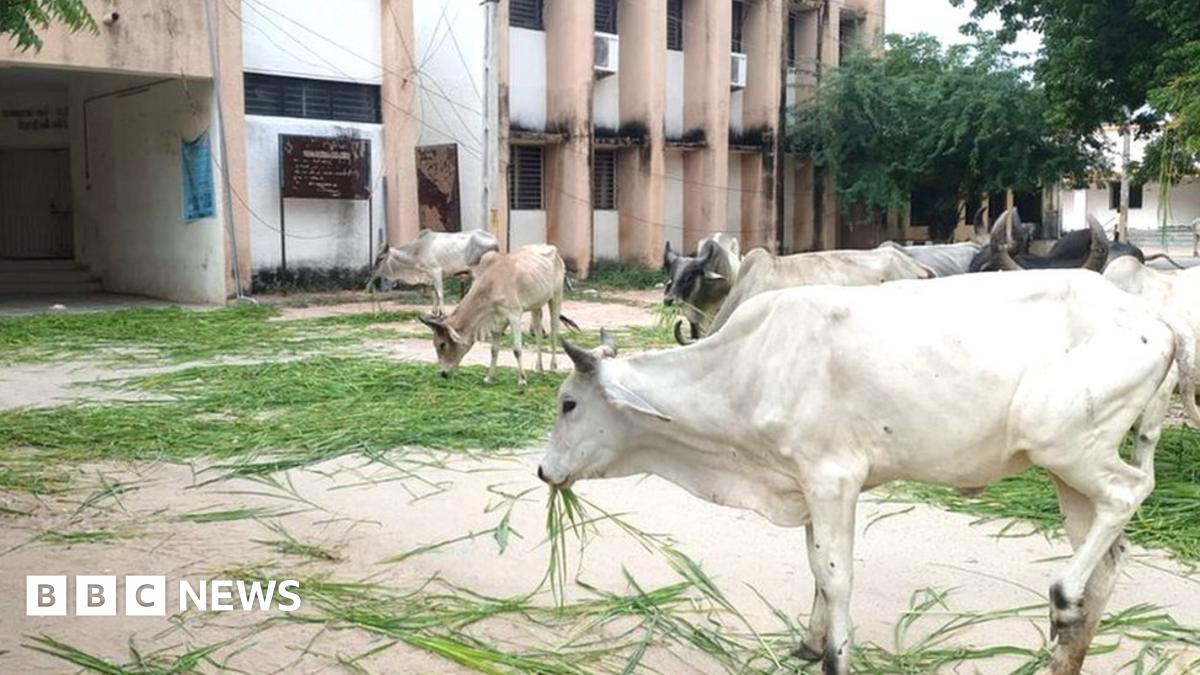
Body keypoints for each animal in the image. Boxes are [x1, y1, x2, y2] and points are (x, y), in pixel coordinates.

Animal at [419, 244, 567, 389]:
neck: (491, 283)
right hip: (536, 304)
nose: (443, 373)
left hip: (556, 296)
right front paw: (489, 377)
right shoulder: (496, 320)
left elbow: (517, 349)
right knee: (538, 332)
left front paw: (522, 380)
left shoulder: (514, 315)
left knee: (554, 331)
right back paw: (539, 368)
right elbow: (494, 350)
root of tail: (554, 250)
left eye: (443, 344)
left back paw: (553, 367)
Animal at [539, 270, 1200, 675]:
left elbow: (836, 577)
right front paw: (809, 643)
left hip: (1066, 446)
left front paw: (836, 655)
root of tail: (1159, 325)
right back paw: (1067, 648)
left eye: (568, 403)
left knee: (1131, 492)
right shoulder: (806, 486)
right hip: (1069, 472)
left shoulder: (832, 480)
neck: (747, 368)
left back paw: (1062, 598)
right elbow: (815, 569)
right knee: (1110, 558)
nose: (544, 471)